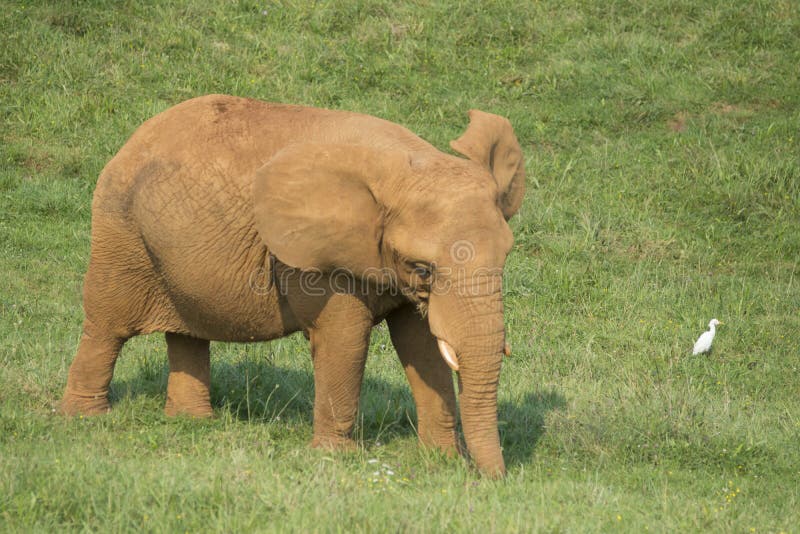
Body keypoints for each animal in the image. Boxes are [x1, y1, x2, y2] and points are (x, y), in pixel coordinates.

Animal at [60, 95, 526, 477]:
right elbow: (345, 339)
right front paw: (338, 459)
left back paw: (193, 423)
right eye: (423, 269)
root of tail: (136, 135)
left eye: (506, 257)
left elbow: (421, 346)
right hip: (120, 231)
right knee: (106, 325)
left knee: (187, 333)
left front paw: (442, 460)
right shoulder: (318, 257)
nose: (493, 480)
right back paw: (84, 419)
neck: (403, 166)